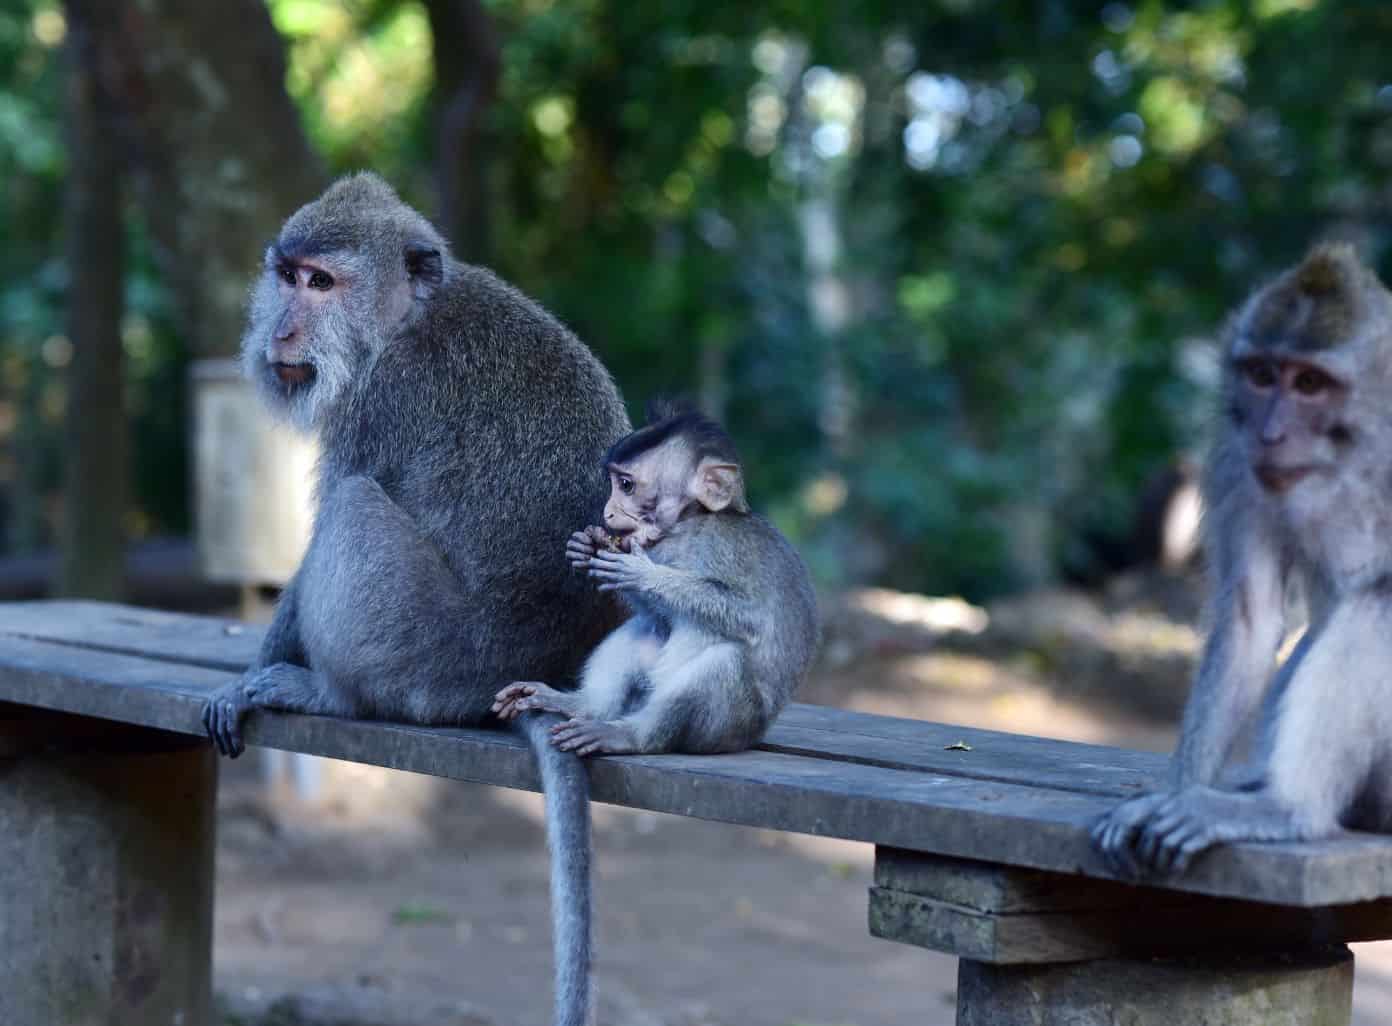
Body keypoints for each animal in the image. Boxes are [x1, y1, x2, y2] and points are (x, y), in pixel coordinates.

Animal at [199, 172, 630, 1026]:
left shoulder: (380, 399)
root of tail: (522, 675)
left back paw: (329, 693)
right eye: (287, 275)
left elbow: (334, 507)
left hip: (417, 647)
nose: (284, 331)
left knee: (353, 509)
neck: (405, 321)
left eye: (323, 284)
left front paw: (246, 679)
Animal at [491, 401, 821, 757]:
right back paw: (580, 706)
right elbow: (656, 614)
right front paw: (587, 545)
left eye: (626, 485)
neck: (687, 525)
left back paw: (633, 736)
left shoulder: (724, 547)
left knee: (724, 660)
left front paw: (641, 573)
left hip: (727, 725)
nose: (607, 512)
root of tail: (750, 737)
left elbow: (750, 615)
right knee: (644, 630)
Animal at [1091, 242, 1392, 877]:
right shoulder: (1235, 453)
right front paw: (1178, 792)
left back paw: (1288, 807)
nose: (1271, 434)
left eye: (1311, 383)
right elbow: (1250, 616)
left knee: (1382, 600)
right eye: (1261, 375)